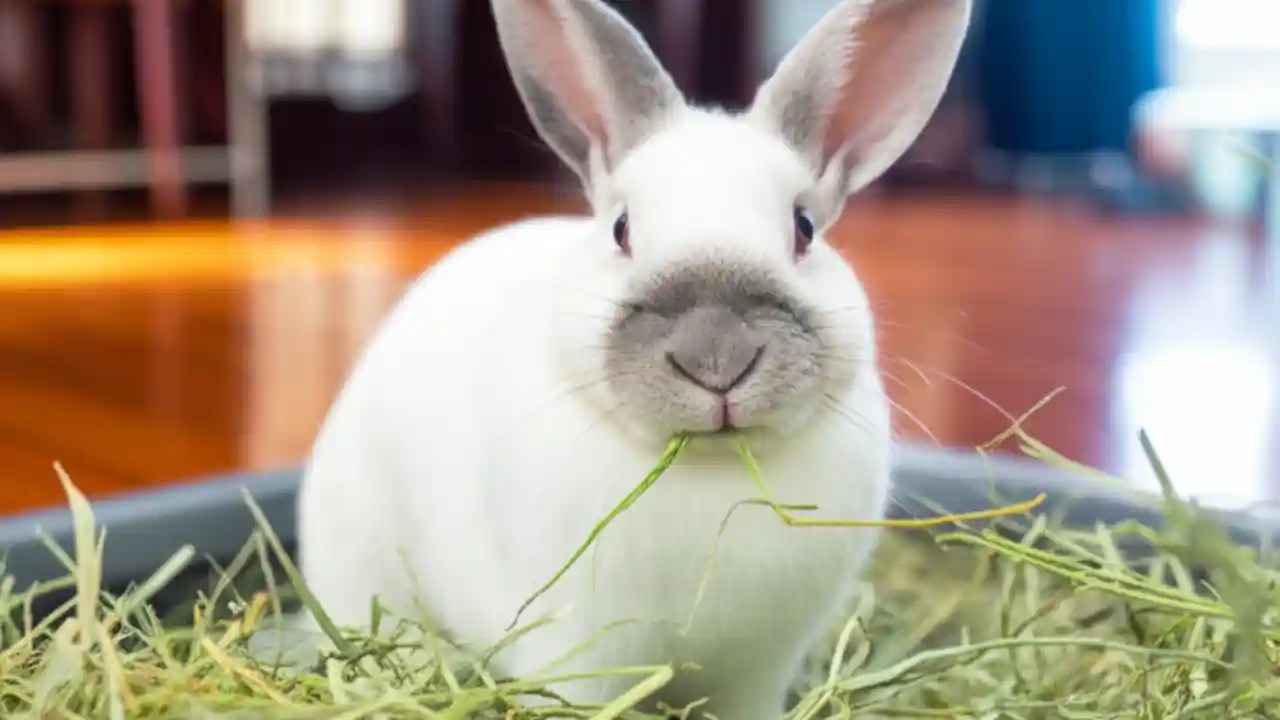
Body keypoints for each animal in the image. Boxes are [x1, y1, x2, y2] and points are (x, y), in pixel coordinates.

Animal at [295, 0, 972, 717]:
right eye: (621, 229)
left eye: (804, 229)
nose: (716, 356)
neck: (712, 473)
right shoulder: (577, 654)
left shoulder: (759, 674)